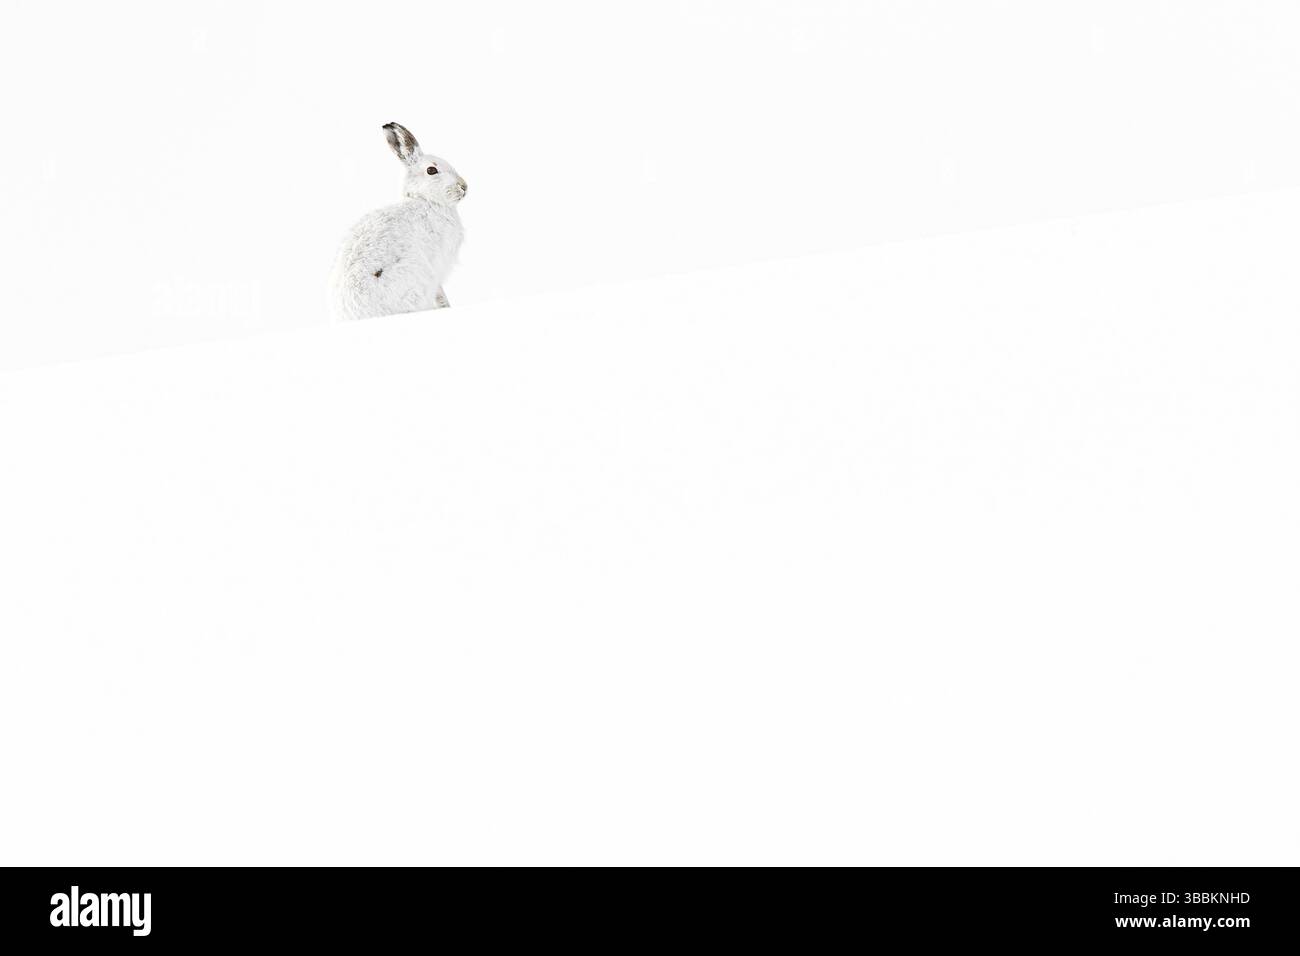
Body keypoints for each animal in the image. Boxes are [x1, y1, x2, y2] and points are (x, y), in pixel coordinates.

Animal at [329, 122, 468, 321]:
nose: (464, 187)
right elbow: (440, 293)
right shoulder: (437, 264)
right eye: (431, 170)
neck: (426, 200)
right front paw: (446, 307)